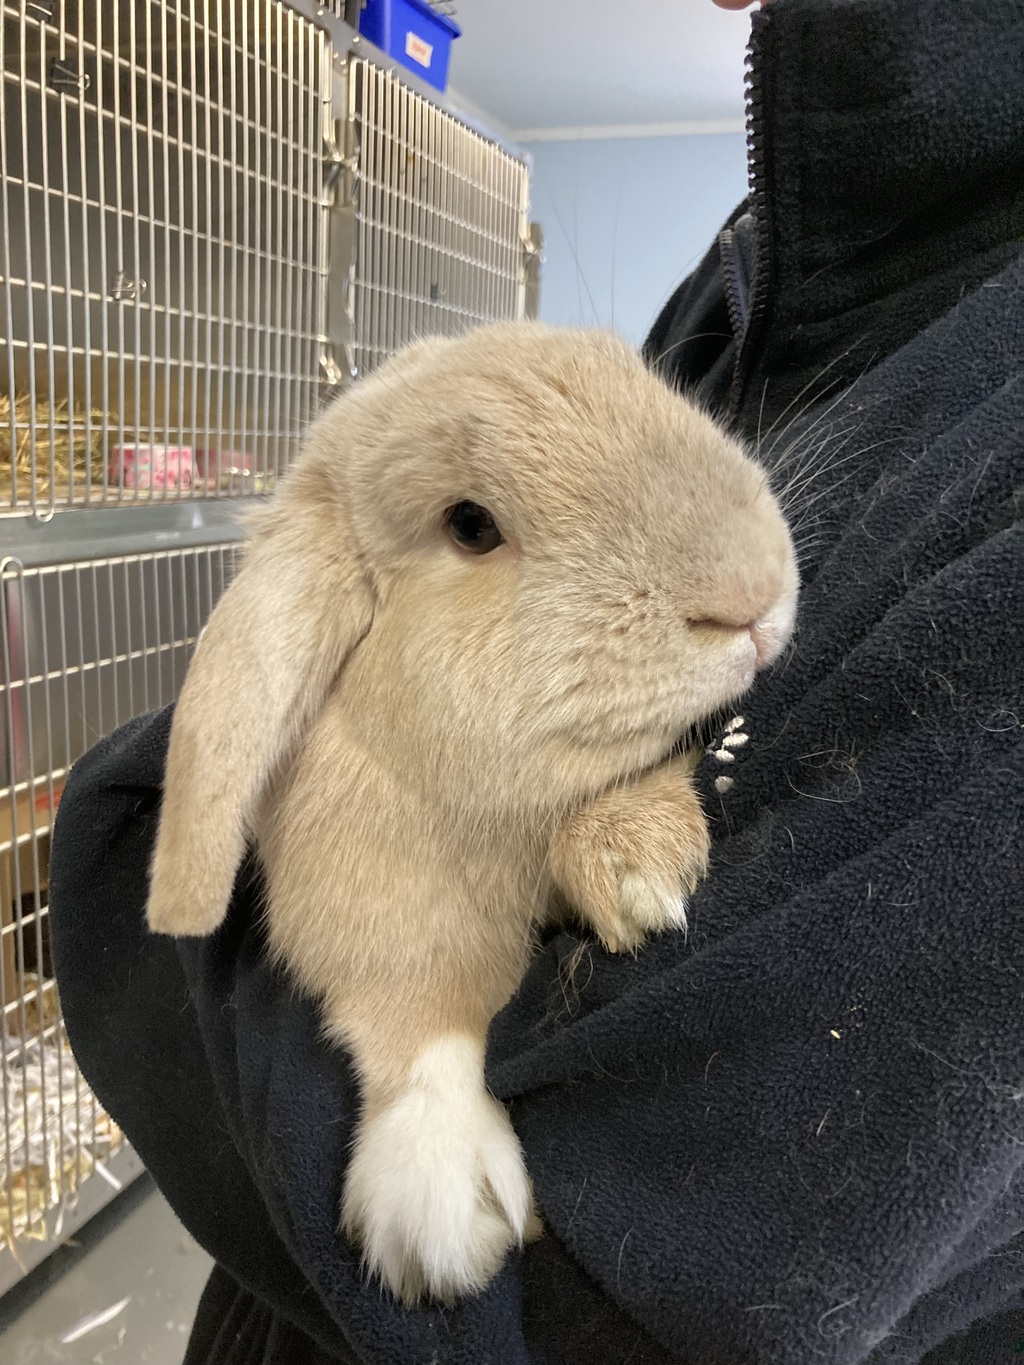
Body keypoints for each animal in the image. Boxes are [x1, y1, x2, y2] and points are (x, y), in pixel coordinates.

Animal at [147, 321, 798, 1305]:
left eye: (642, 375)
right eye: (471, 525)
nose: (754, 592)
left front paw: (635, 867)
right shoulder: (366, 913)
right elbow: (418, 1018)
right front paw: (444, 1204)